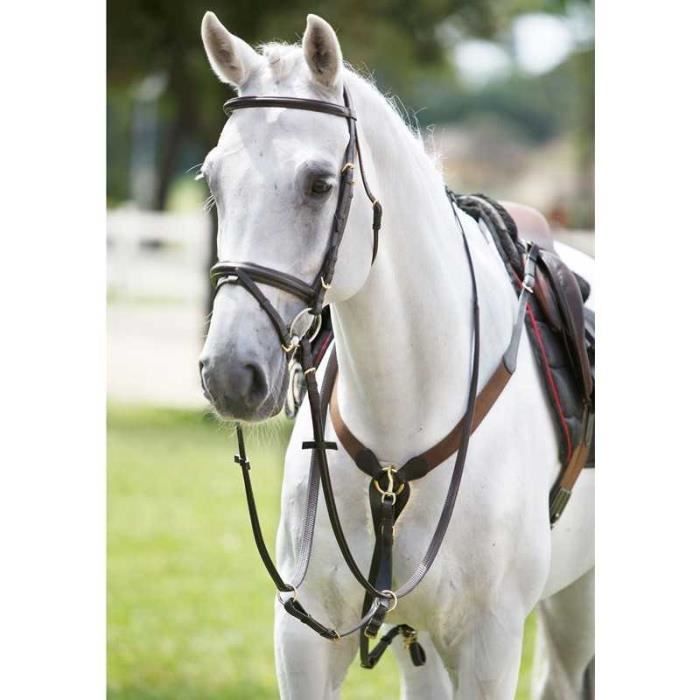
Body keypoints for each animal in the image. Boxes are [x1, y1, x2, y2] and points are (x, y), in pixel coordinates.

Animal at [197, 12, 594, 699]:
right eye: (214, 180)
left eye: (320, 183)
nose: (229, 374)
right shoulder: (303, 637)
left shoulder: (491, 646)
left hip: (577, 603)